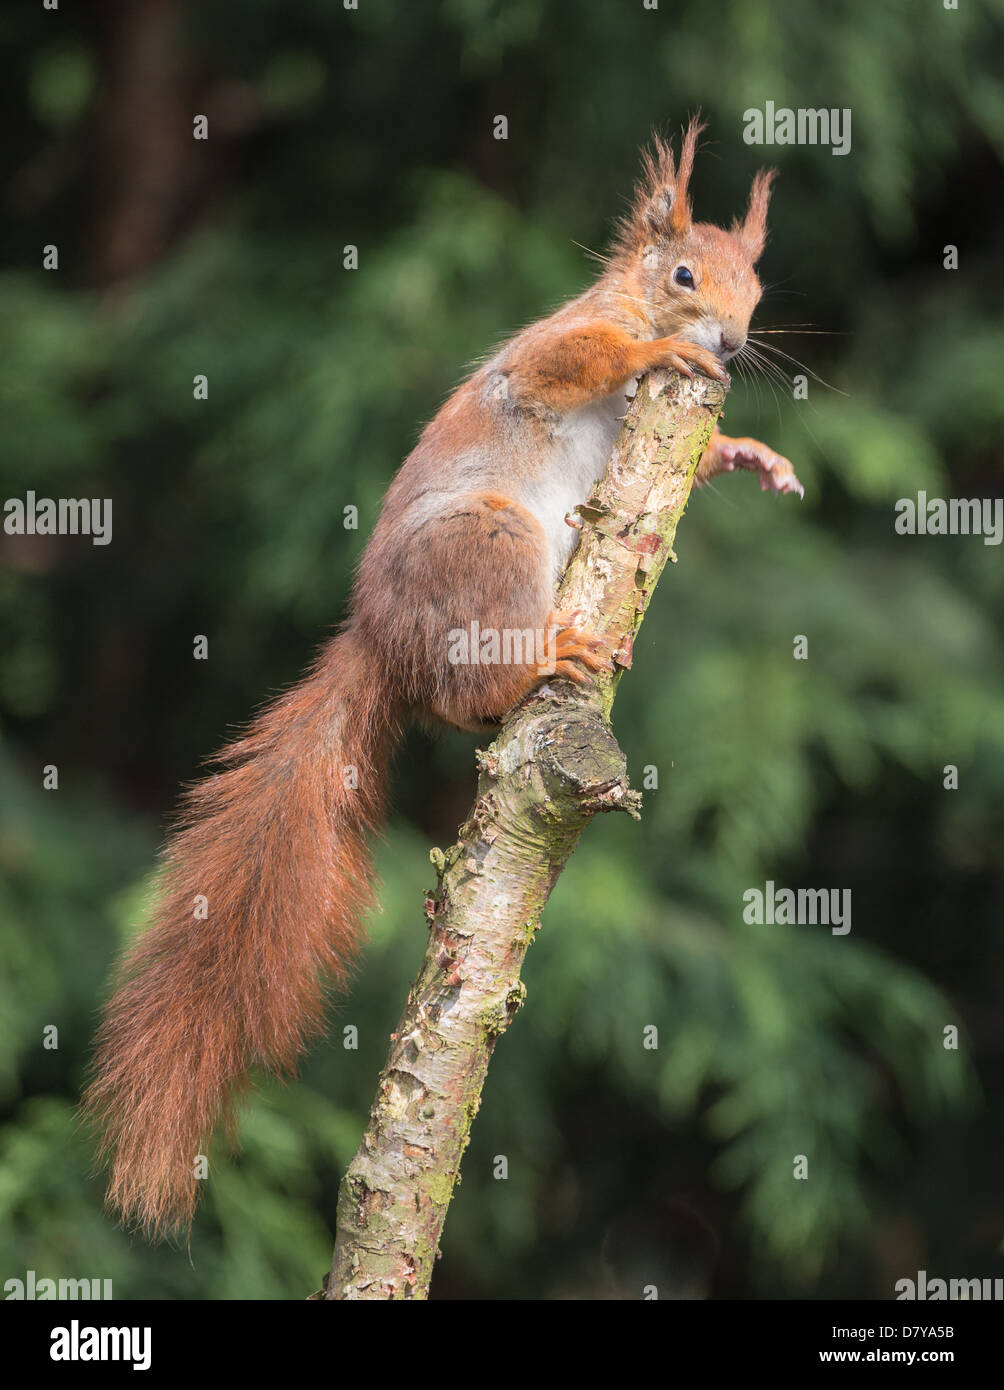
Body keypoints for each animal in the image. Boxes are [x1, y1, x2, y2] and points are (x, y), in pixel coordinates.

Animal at [84, 118, 804, 1236]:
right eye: (685, 273)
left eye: (759, 289)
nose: (728, 347)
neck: (630, 294)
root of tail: (378, 638)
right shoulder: (554, 343)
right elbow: (567, 362)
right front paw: (662, 352)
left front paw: (752, 453)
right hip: (489, 540)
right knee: (470, 694)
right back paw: (545, 656)